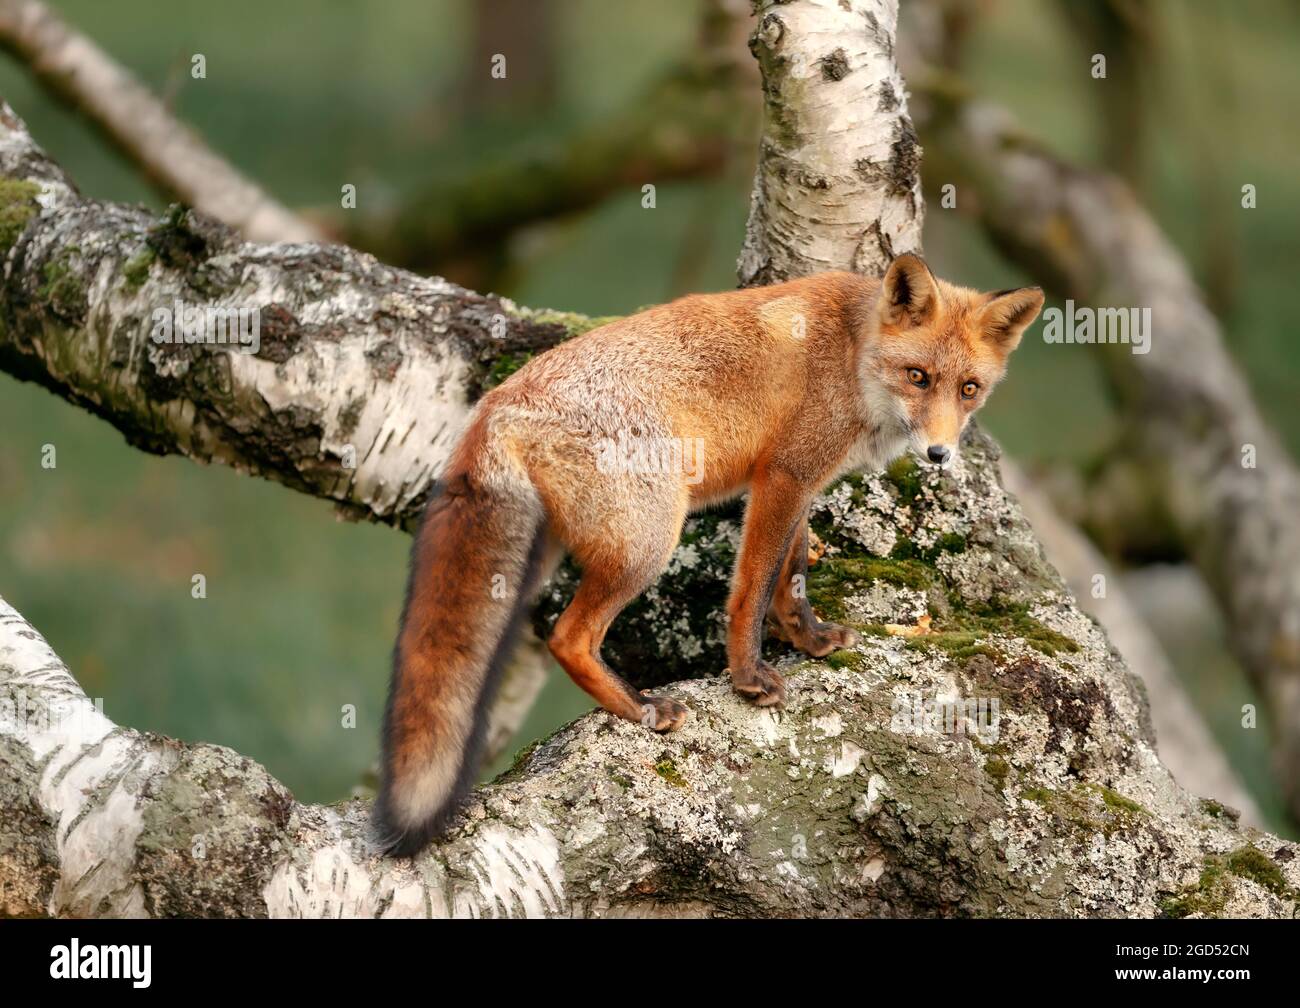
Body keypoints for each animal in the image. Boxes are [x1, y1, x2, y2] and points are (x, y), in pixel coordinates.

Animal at [372, 253, 1043, 856]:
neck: (853, 355)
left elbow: (791, 579)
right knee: (568, 637)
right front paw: (748, 678)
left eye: (969, 389)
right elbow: (753, 588)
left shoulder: (797, 484)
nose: (938, 455)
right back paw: (640, 709)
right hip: (649, 541)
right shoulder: (784, 477)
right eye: (918, 376)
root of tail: (495, 404)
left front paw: (809, 640)